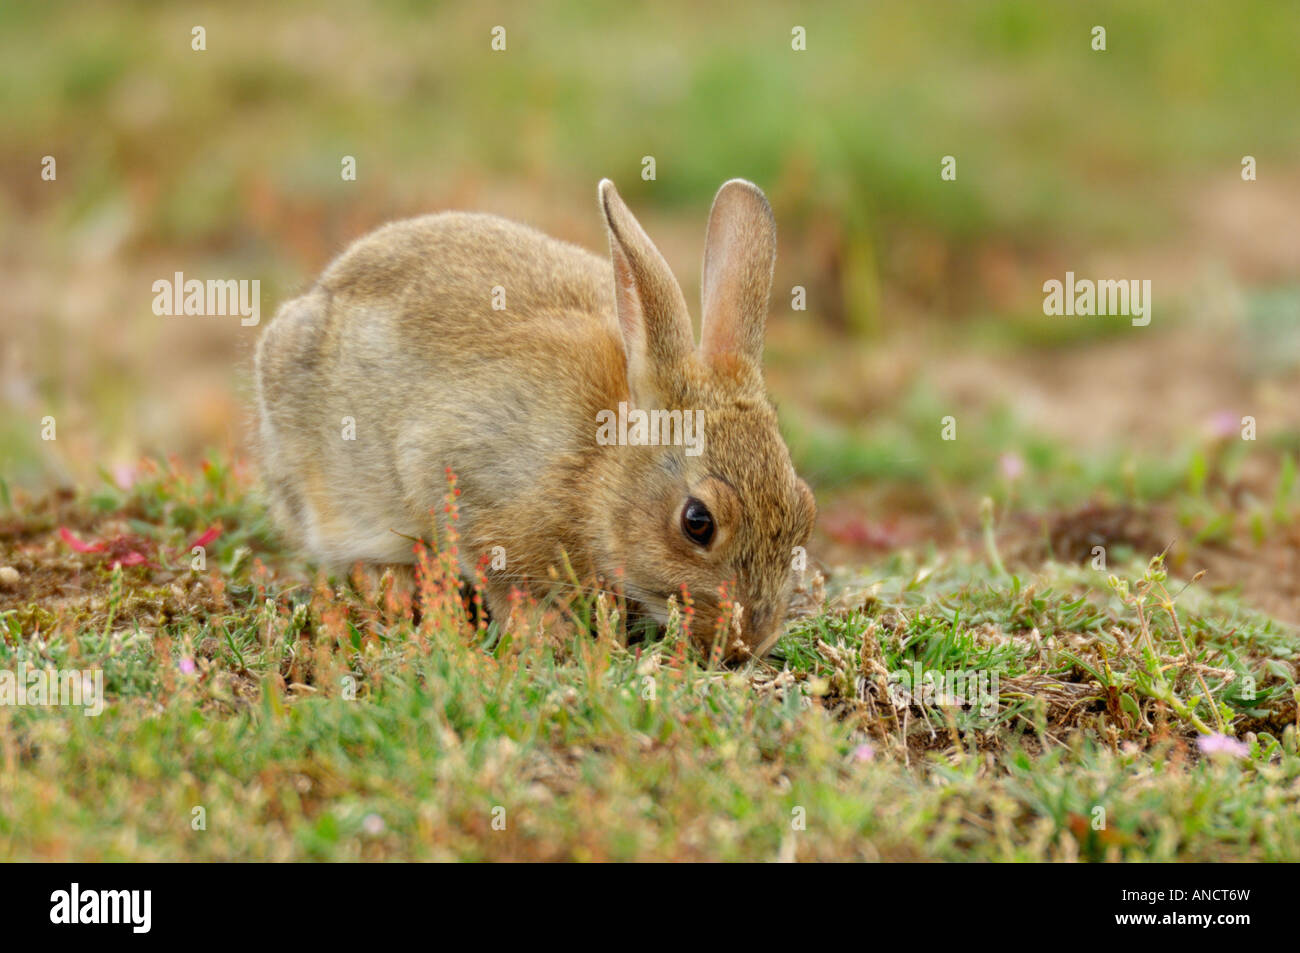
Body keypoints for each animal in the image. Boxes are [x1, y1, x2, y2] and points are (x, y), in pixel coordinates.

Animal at [255, 178, 816, 658]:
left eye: (805, 512)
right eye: (697, 523)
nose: (748, 645)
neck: (598, 470)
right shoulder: (460, 476)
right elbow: (503, 579)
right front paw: (549, 635)